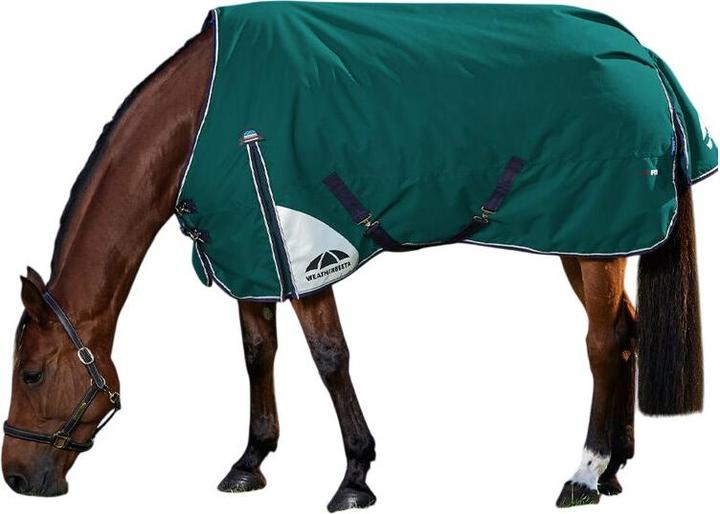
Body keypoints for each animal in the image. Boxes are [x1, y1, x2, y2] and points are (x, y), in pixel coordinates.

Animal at [1, 5, 710, 512]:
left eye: (31, 374)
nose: (17, 477)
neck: (201, 119)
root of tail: (644, 57)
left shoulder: (307, 249)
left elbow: (329, 358)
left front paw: (354, 477)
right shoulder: (252, 252)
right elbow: (258, 354)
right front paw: (250, 462)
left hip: (595, 235)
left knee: (602, 341)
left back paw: (584, 473)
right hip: (588, 238)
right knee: (626, 332)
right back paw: (615, 469)